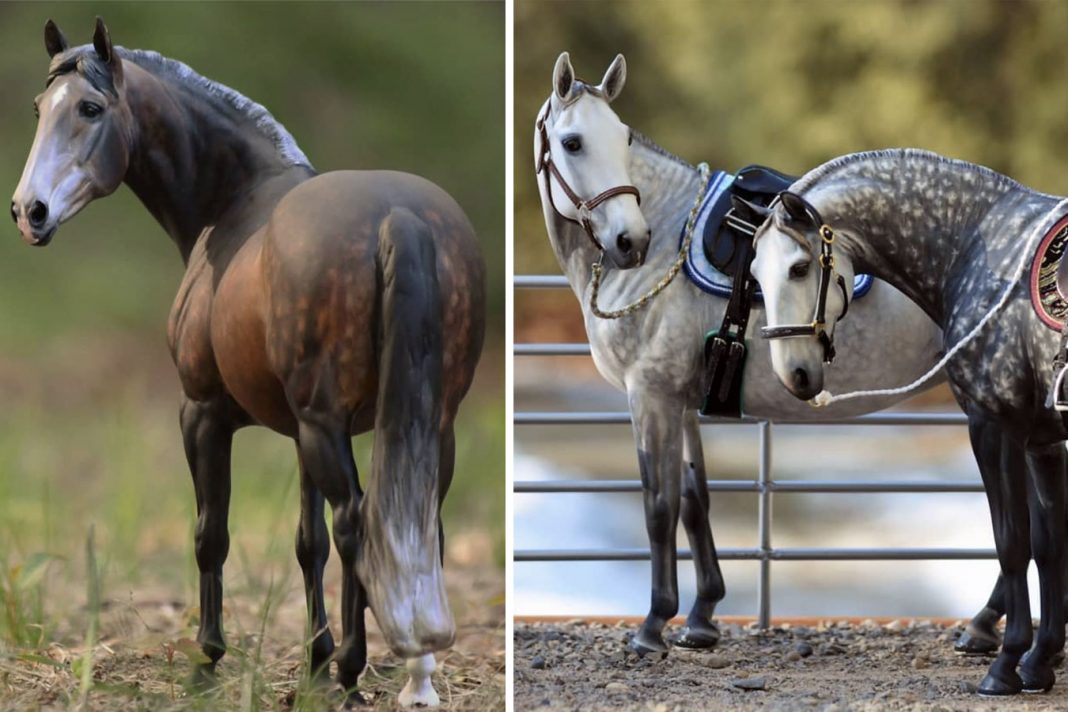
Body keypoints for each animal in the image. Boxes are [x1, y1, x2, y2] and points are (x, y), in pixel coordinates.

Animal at [11, 18, 485, 707]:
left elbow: (212, 534)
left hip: (323, 426)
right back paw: (410, 673)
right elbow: (309, 544)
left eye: (90, 108)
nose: (29, 212)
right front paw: (313, 662)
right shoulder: (306, 433)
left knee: (358, 520)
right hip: (424, 426)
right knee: (416, 528)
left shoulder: (205, 414)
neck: (235, 201)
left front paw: (208, 662)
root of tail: (398, 218)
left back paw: (353, 669)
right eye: (39, 109)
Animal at [531, 52, 1038, 658]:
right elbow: (694, 500)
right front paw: (702, 617)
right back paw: (985, 626)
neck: (667, 246)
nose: (631, 240)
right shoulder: (678, 399)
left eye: (624, 137)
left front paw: (653, 626)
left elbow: (659, 506)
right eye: (574, 142)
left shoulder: (650, 396)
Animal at [748, 147, 1068, 695]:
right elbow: (1048, 546)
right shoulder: (1041, 440)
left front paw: (1005, 665)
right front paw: (1038, 661)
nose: (795, 375)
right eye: (754, 272)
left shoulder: (994, 425)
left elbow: (1011, 542)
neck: (983, 246)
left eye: (799, 267)